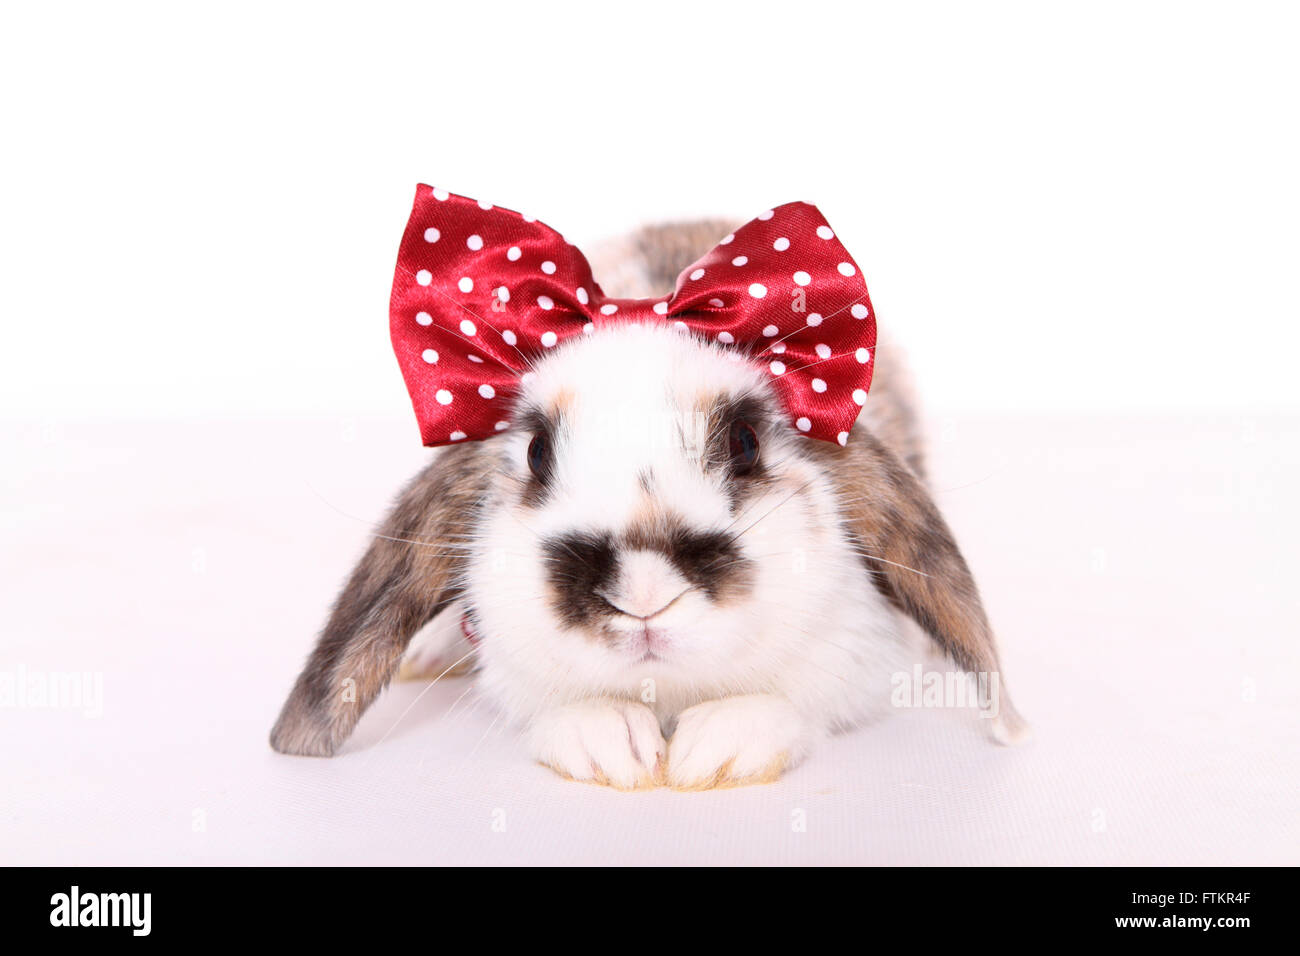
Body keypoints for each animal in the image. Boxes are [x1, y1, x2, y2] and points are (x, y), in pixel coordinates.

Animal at [269, 213, 1028, 790]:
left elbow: (791, 701)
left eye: (746, 442)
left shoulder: (862, 652)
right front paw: (610, 746)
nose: (641, 593)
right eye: (537, 452)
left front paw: (715, 750)